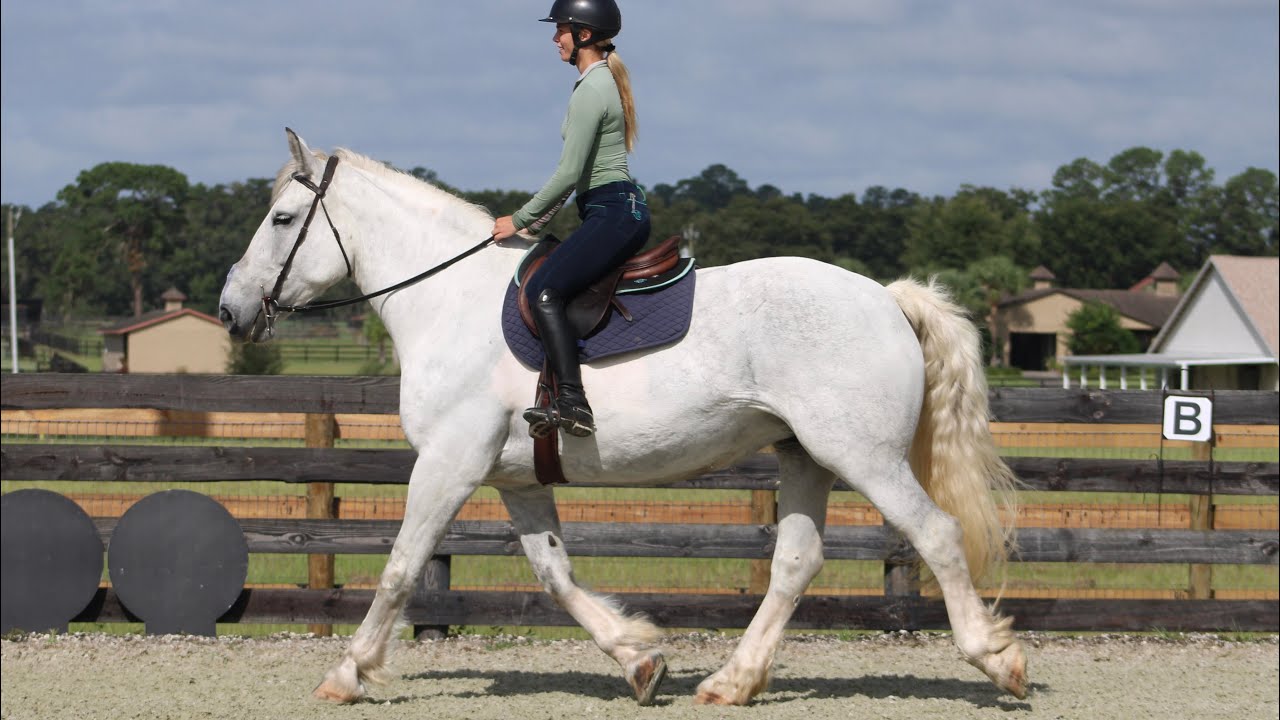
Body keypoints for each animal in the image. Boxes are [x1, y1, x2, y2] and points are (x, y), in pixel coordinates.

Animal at [218, 129, 1028, 706]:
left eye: (283, 218)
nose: (231, 311)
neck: (448, 300)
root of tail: (886, 296)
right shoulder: (514, 478)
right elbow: (555, 573)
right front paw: (639, 659)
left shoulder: (448, 465)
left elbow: (399, 568)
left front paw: (348, 673)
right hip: (805, 456)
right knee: (795, 563)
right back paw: (732, 682)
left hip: (863, 456)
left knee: (935, 534)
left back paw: (997, 659)